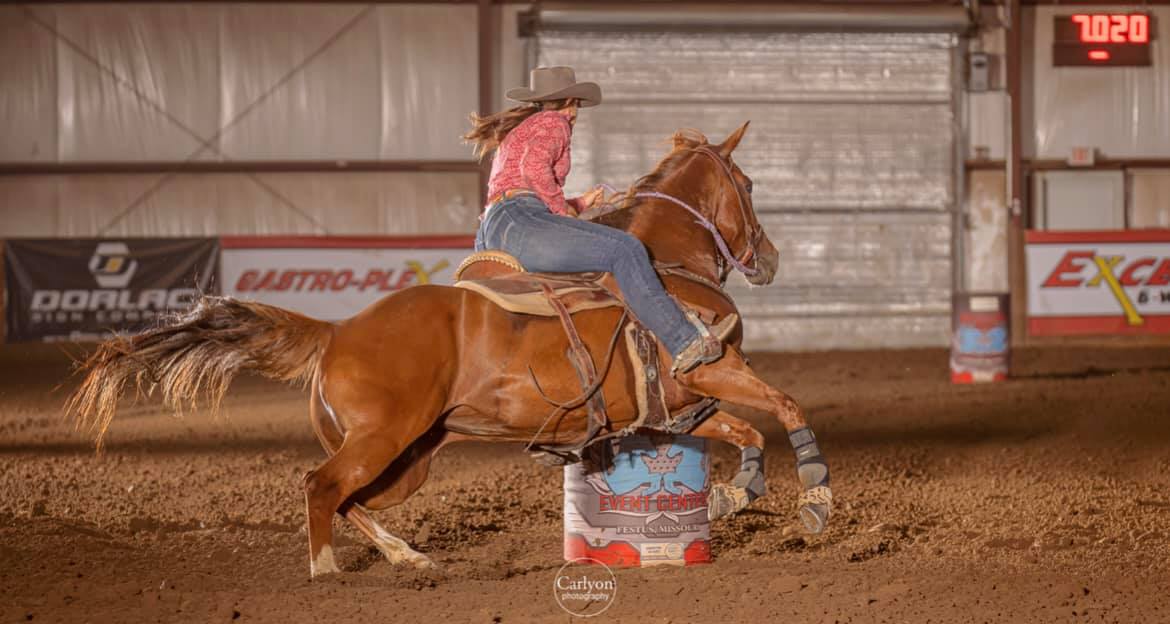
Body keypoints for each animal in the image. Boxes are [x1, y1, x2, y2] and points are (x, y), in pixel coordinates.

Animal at [67, 122, 832, 577]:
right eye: (749, 185)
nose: (768, 258)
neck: (665, 265)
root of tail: (339, 331)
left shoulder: (685, 399)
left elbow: (746, 431)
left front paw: (733, 494)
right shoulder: (718, 368)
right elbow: (784, 405)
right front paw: (817, 499)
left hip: (410, 455)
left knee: (347, 497)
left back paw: (407, 556)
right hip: (383, 438)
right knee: (320, 487)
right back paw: (327, 571)